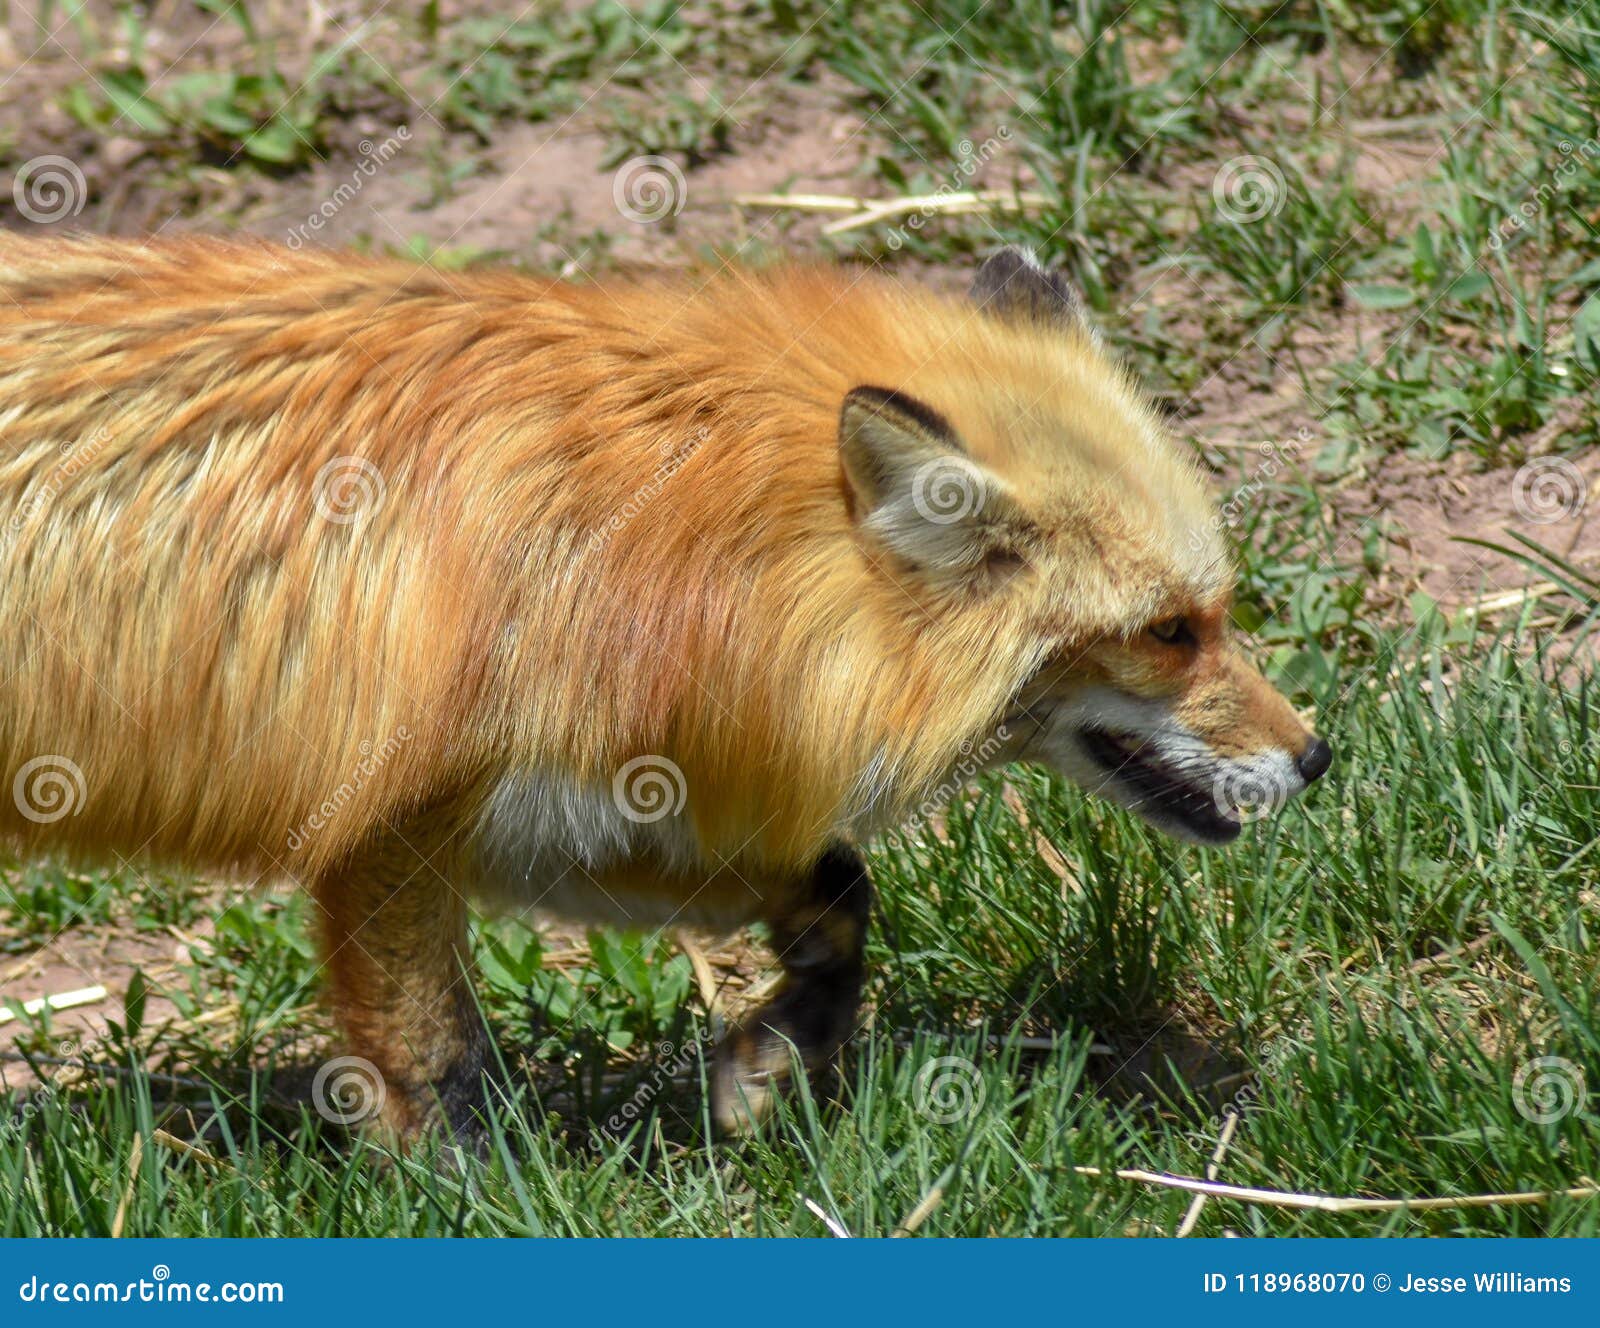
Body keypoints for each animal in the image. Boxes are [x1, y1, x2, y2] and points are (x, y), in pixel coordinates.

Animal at [0, 234, 1329, 1140]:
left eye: (1216, 612)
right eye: (1166, 633)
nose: (1316, 757)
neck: (654, 525)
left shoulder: (566, 805)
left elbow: (840, 892)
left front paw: (769, 1060)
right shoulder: (388, 824)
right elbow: (433, 1061)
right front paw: (467, 1198)